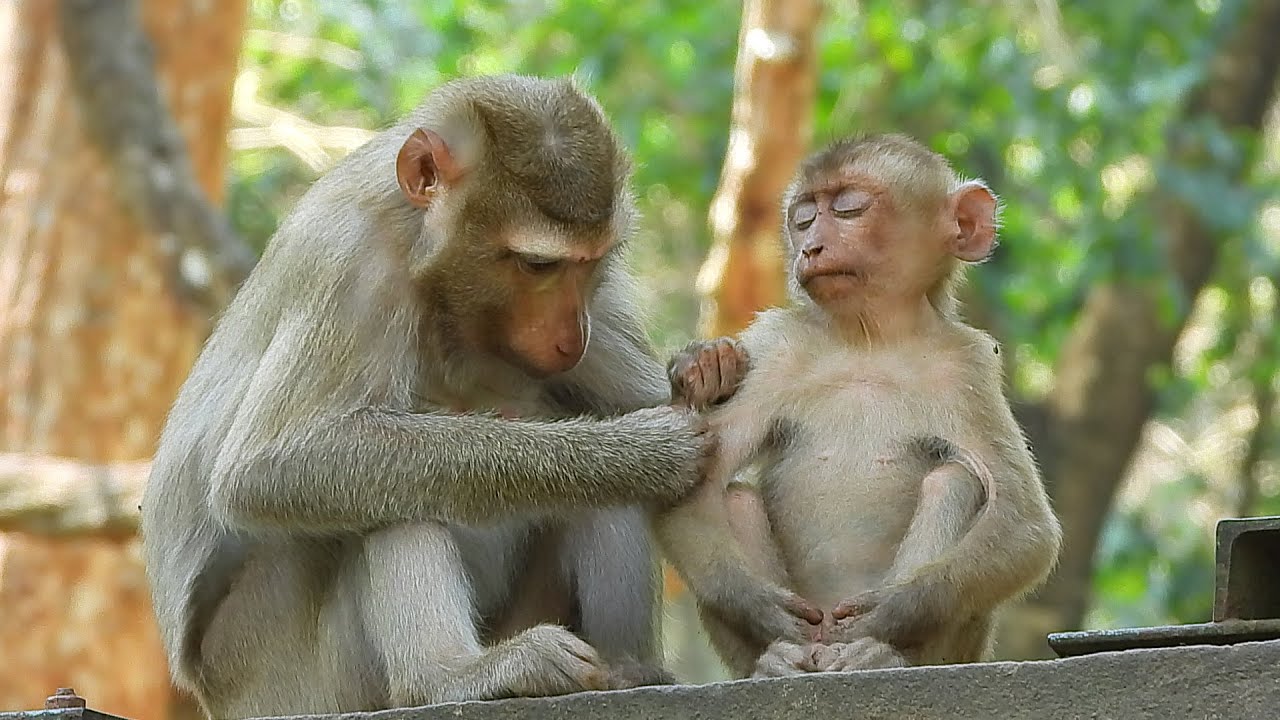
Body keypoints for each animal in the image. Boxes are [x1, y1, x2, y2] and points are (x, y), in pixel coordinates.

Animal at [140, 74, 710, 720]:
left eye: (591, 263)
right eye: (537, 264)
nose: (572, 336)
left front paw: (703, 372)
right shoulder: (350, 266)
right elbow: (268, 465)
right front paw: (639, 453)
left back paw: (629, 669)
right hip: (287, 669)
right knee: (381, 489)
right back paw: (453, 678)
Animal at [656, 134, 1062, 679]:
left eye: (849, 208)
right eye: (803, 217)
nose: (811, 247)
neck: (871, 337)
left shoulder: (968, 366)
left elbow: (1024, 524)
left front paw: (889, 615)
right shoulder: (774, 347)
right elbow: (687, 492)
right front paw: (766, 611)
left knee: (957, 478)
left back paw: (881, 654)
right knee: (733, 496)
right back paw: (777, 660)